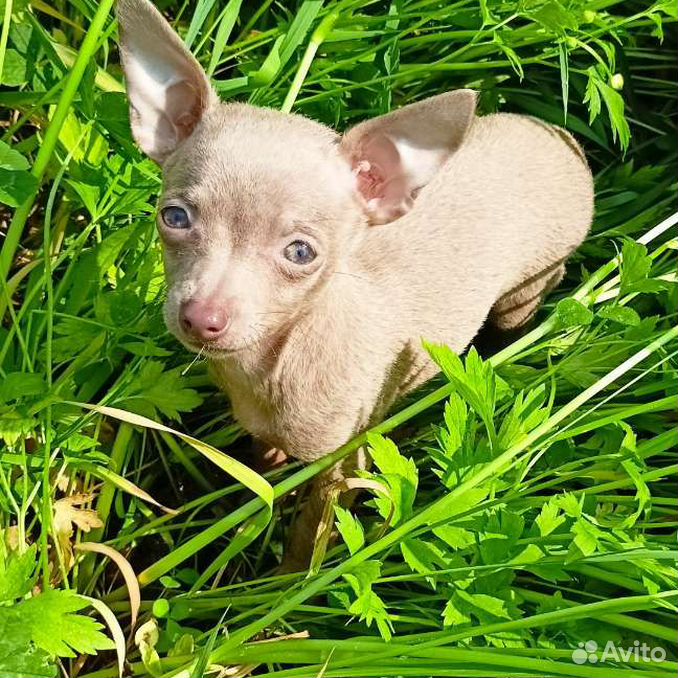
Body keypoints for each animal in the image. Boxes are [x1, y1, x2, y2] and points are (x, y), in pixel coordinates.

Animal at [117, 0, 596, 572]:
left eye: (301, 253)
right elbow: (259, 467)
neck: (269, 361)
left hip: (530, 287)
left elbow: (309, 540)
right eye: (174, 218)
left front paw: (282, 588)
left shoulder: (343, 466)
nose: (201, 318)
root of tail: (560, 137)